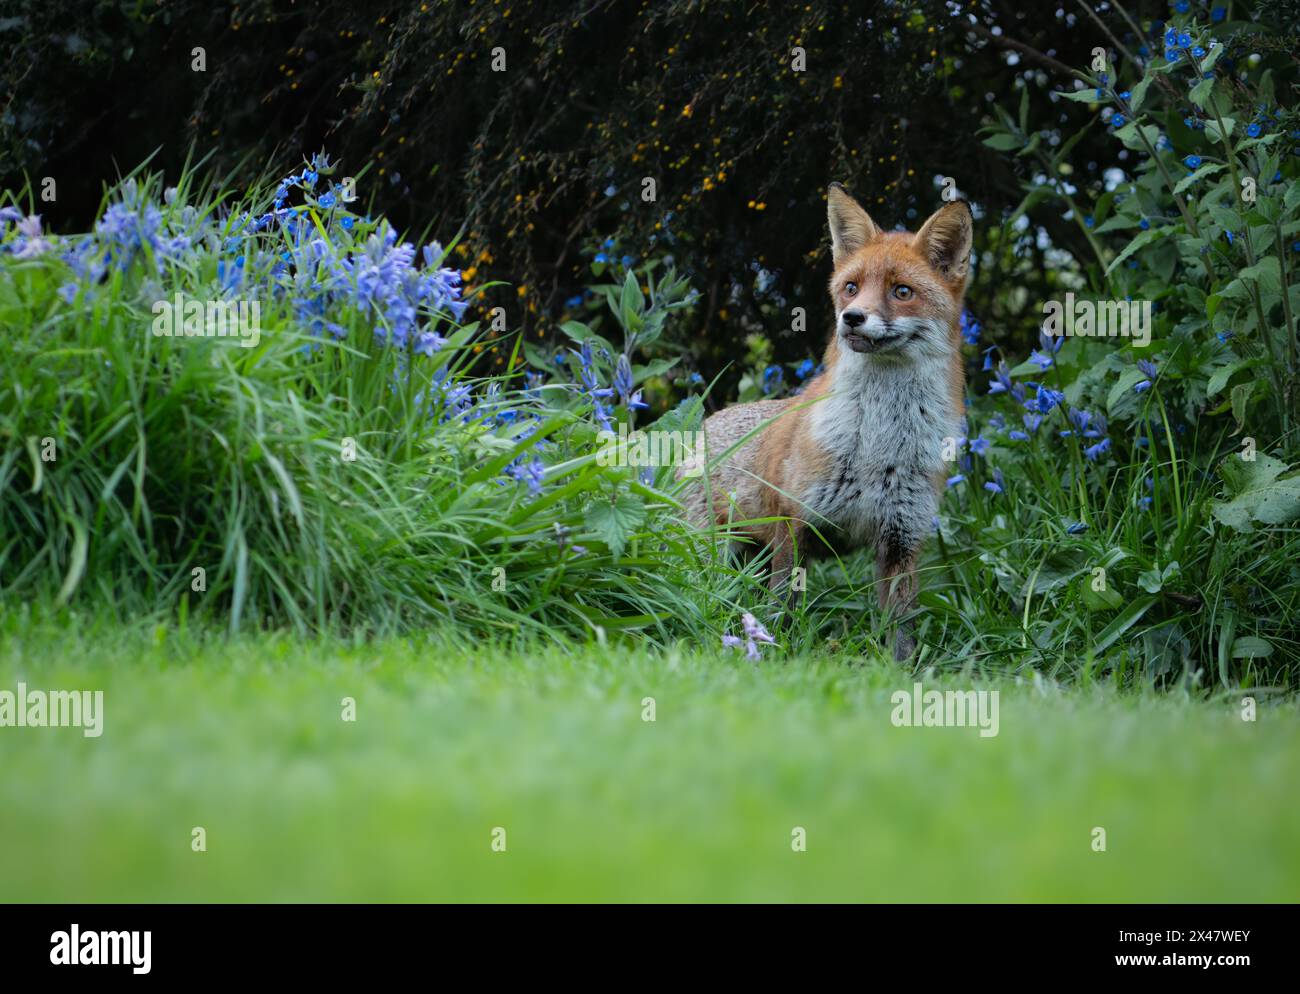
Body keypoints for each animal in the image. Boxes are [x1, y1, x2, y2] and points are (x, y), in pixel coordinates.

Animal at [679, 183, 973, 660]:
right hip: (715, 550)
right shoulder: (792, 524)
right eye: (851, 288)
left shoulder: (902, 538)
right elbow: (782, 608)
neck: (878, 444)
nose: (851, 318)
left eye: (902, 291)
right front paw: (775, 654)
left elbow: (901, 628)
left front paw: (901, 670)